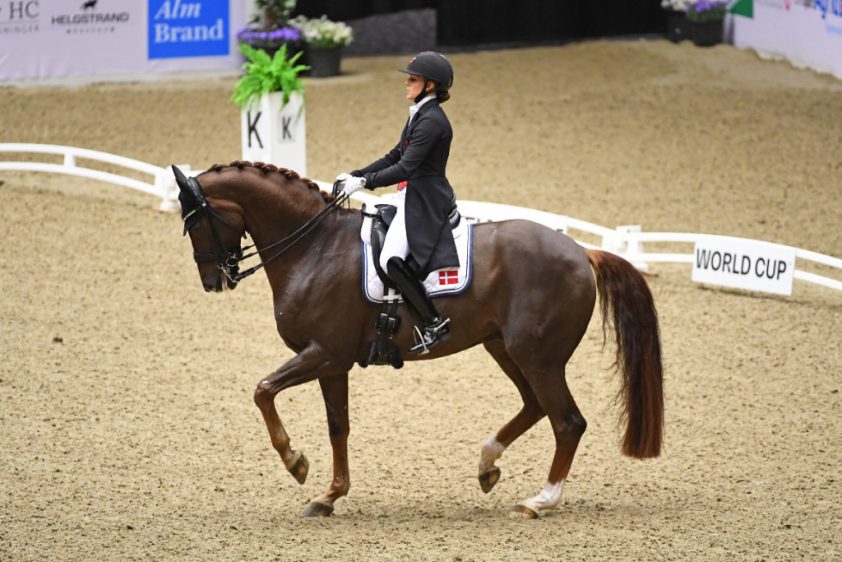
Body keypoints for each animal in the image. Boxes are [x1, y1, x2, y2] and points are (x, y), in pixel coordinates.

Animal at [173, 161, 664, 519]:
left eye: (194, 222)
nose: (213, 282)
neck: (314, 248)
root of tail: (582, 252)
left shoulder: (323, 354)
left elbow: (263, 391)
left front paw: (296, 463)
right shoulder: (332, 362)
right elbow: (337, 426)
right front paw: (329, 496)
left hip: (538, 357)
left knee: (567, 422)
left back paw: (539, 500)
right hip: (505, 348)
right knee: (535, 406)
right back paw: (487, 466)